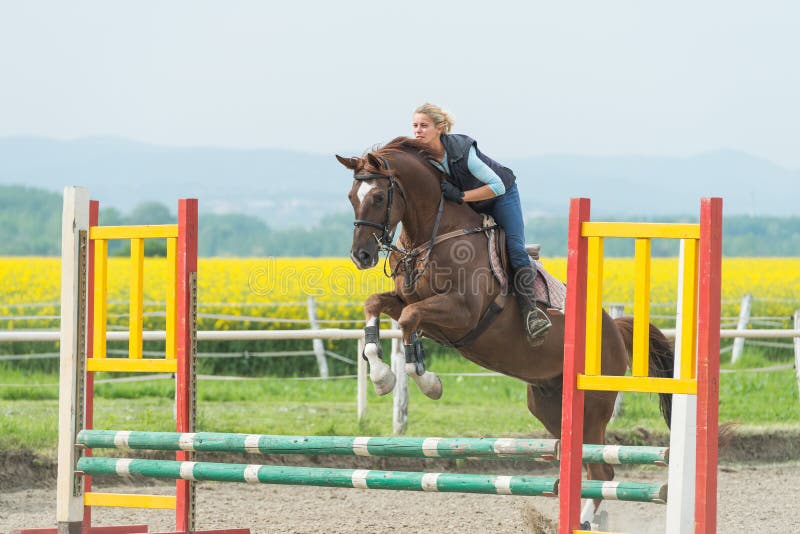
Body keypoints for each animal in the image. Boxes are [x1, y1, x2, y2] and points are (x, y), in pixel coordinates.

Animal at [336, 137, 674, 527]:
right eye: (351, 195)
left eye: (378, 196)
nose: (360, 255)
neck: (434, 232)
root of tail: (615, 329)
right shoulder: (409, 300)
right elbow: (376, 305)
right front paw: (381, 376)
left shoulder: (462, 312)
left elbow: (409, 318)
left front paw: (427, 382)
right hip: (548, 405)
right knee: (591, 468)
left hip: (592, 407)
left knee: (602, 473)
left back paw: (583, 522)